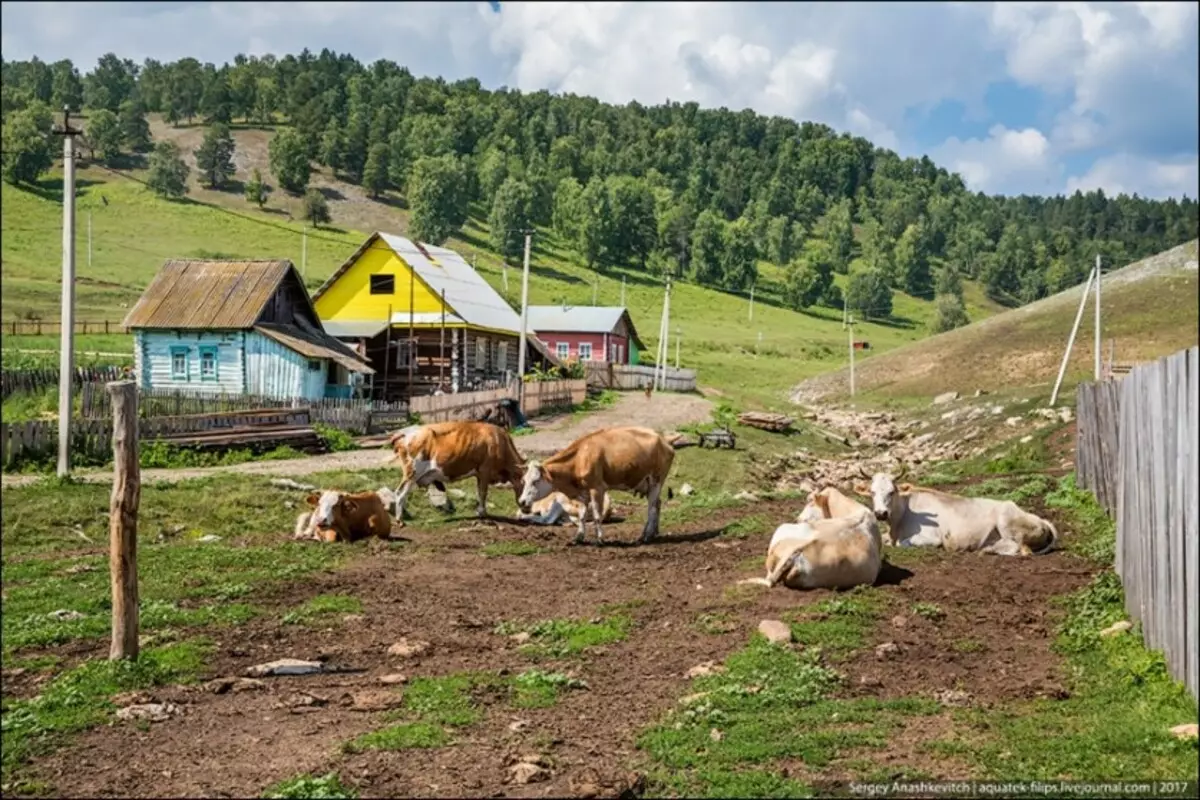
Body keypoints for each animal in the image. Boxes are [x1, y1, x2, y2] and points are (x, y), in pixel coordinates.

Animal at [388, 419, 525, 525]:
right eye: (526, 483)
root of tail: (405, 432)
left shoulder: (479, 474)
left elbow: (479, 492)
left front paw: (479, 511)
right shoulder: (485, 470)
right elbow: (483, 493)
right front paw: (483, 513)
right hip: (413, 472)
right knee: (400, 493)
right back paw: (399, 520)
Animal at [520, 424, 681, 544]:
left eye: (535, 481)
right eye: (524, 480)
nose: (521, 501)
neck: (580, 458)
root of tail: (663, 439)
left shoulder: (597, 489)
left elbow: (597, 516)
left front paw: (600, 539)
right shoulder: (583, 492)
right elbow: (582, 515)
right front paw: (579, 537)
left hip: (656, 481)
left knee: (652, 508)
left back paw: (646, 536)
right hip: (649, 484)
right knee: (657, 504)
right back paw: (653, 533)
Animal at [854, 472, 1060, 554]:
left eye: (892, 491)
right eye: (872, 492)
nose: (881, 513)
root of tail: (1041, 519)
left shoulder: (932, 538)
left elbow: (901, 544)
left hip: (1006, 521)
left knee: (1018, 547)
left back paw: (988, 551)